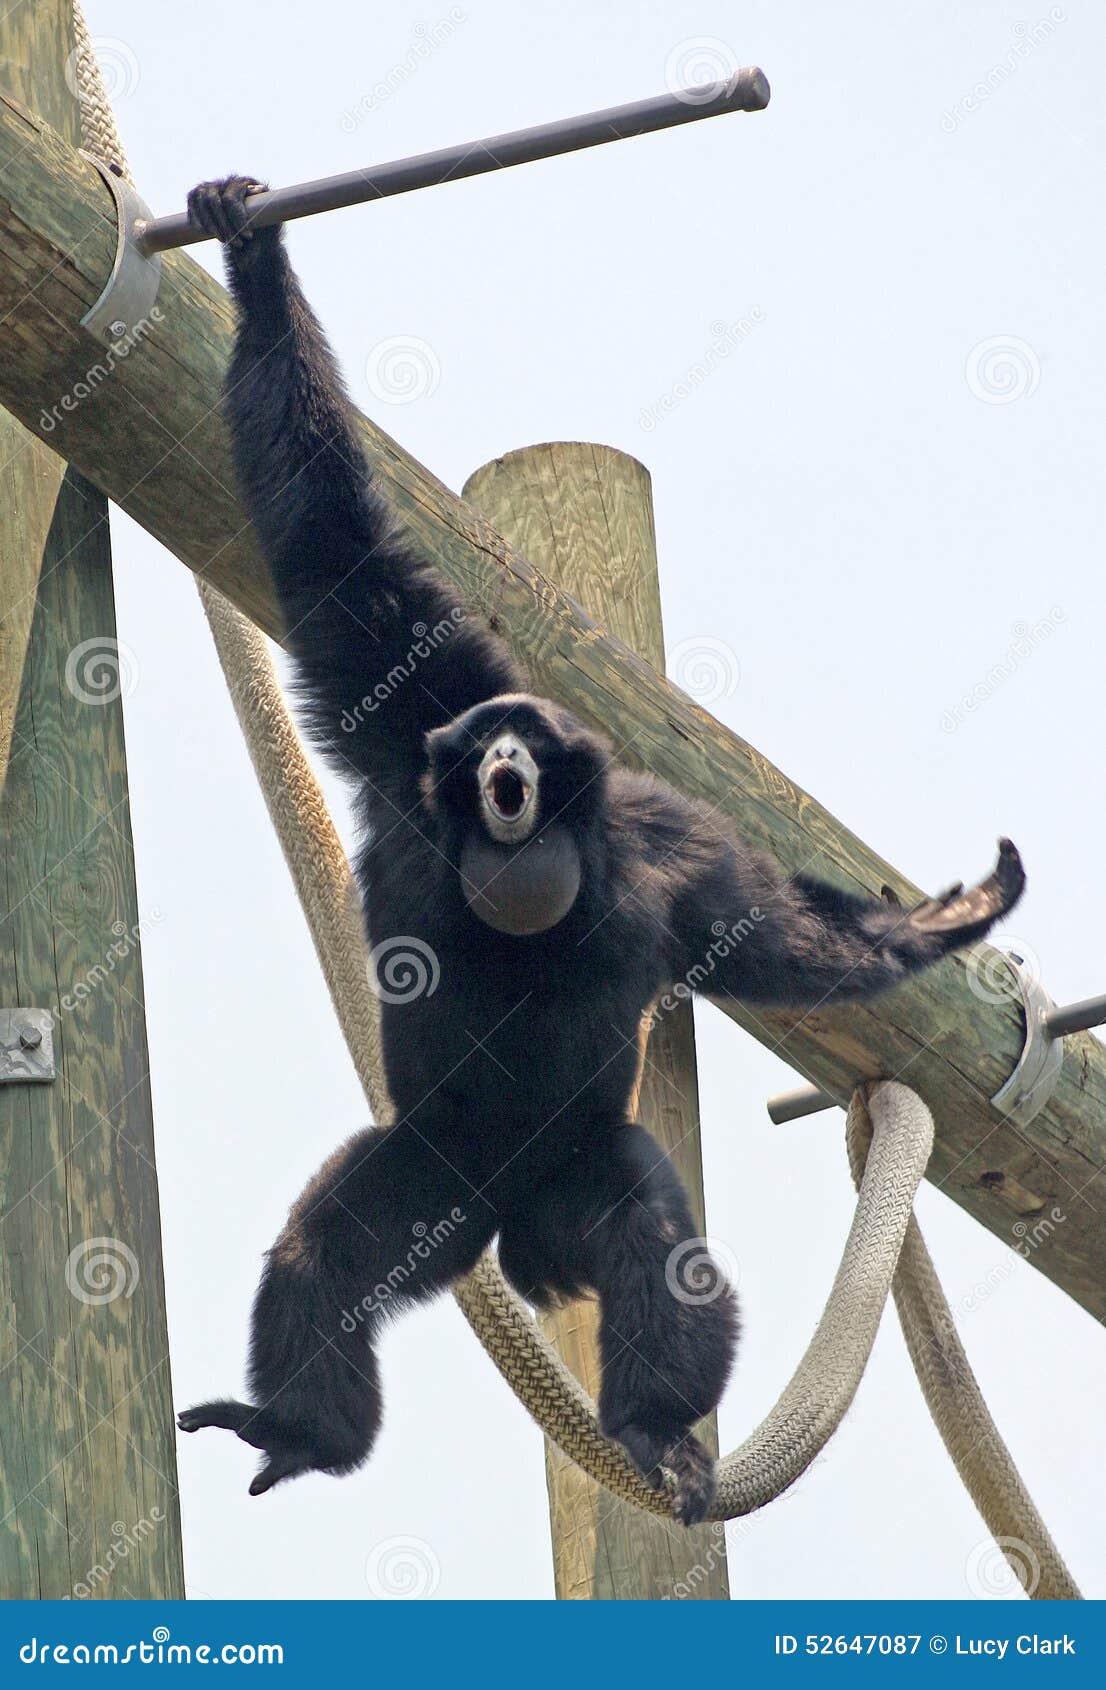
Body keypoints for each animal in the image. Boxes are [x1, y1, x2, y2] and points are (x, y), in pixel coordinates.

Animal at [177, 177, 1024, 1525]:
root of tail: (505, 1224)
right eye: (487, 744)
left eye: (528, 743)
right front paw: (251, 258)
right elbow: (337, 555)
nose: (505, 766)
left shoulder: (663, 851)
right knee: (327, 1248)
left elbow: (774, 937)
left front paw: (950, 920)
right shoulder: (409, 727)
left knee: (642, 1239)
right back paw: (308, 1428)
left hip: (571, 1167)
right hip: (435, 1164)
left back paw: (650, 1426)